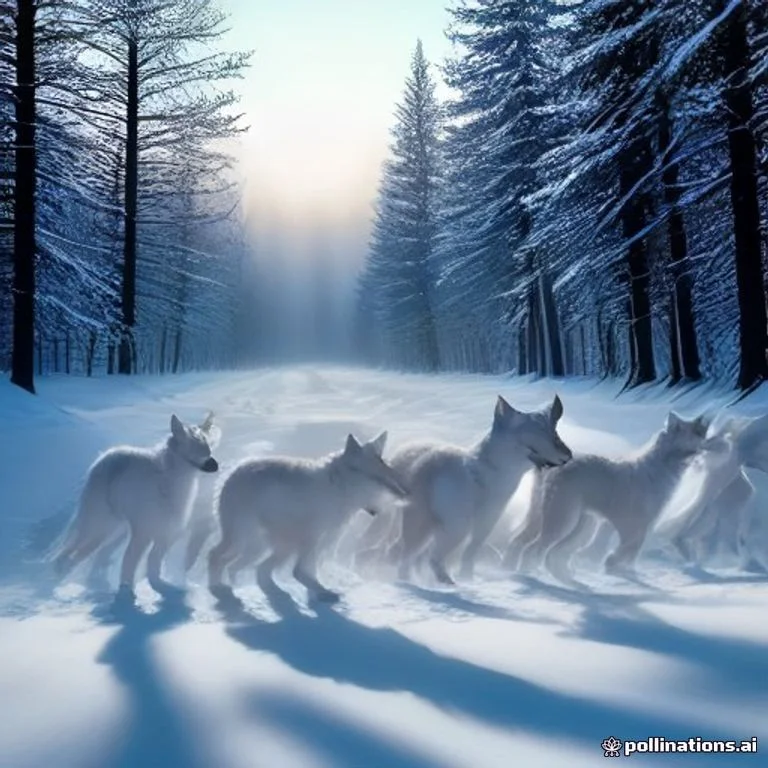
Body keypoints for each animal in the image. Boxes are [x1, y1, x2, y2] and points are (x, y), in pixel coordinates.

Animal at [53, 414, 219, 594]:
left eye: (209, 449)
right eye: (198, 452)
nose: (216, 465)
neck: (170, 476)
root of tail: (102, 459)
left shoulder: (165, 533)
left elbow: (153, 565)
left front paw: (159, 586)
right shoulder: (143, 532)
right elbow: (131, 563)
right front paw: (127, 593)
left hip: (116, 530)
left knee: (92, 556)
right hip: (99, 525)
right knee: (71, 553)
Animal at [208, 431, 408, 603]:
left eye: (387, 473)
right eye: (376, 478)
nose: (402, 494)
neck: (339, 487)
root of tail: (229, 477)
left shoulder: (323, 541)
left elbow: (309, 572)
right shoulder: (313, 539)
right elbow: (301, 572)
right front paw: (325, 594)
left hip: (263, 547)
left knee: (244, 567)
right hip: (243, 536)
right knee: (216, 556)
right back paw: (218, 589)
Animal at [380, 394, 572, 586]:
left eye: (554, 431)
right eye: (545, 433)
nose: (568, 455)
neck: (493, 466)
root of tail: (423, 470)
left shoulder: (485, 522)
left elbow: (470, 551)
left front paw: (468, 578)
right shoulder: (487, 519)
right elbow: (470, 551)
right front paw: (468, 579)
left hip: (419, 523)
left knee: (403, 553)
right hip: (454, 526)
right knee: (428, 556)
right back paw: (444, 582)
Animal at [513, 412, 712, 583]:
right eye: (696, 431)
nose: (707, 424)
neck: (663, 464)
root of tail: (553, 465)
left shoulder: (638, 527)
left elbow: (630, 554)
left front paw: (622, 572)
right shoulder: (633, 527)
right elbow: (626, 551)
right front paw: (613, 567)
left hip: (580, 525)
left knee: (547, 551)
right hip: (563, 521)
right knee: (534, 548)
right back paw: (530, 575)